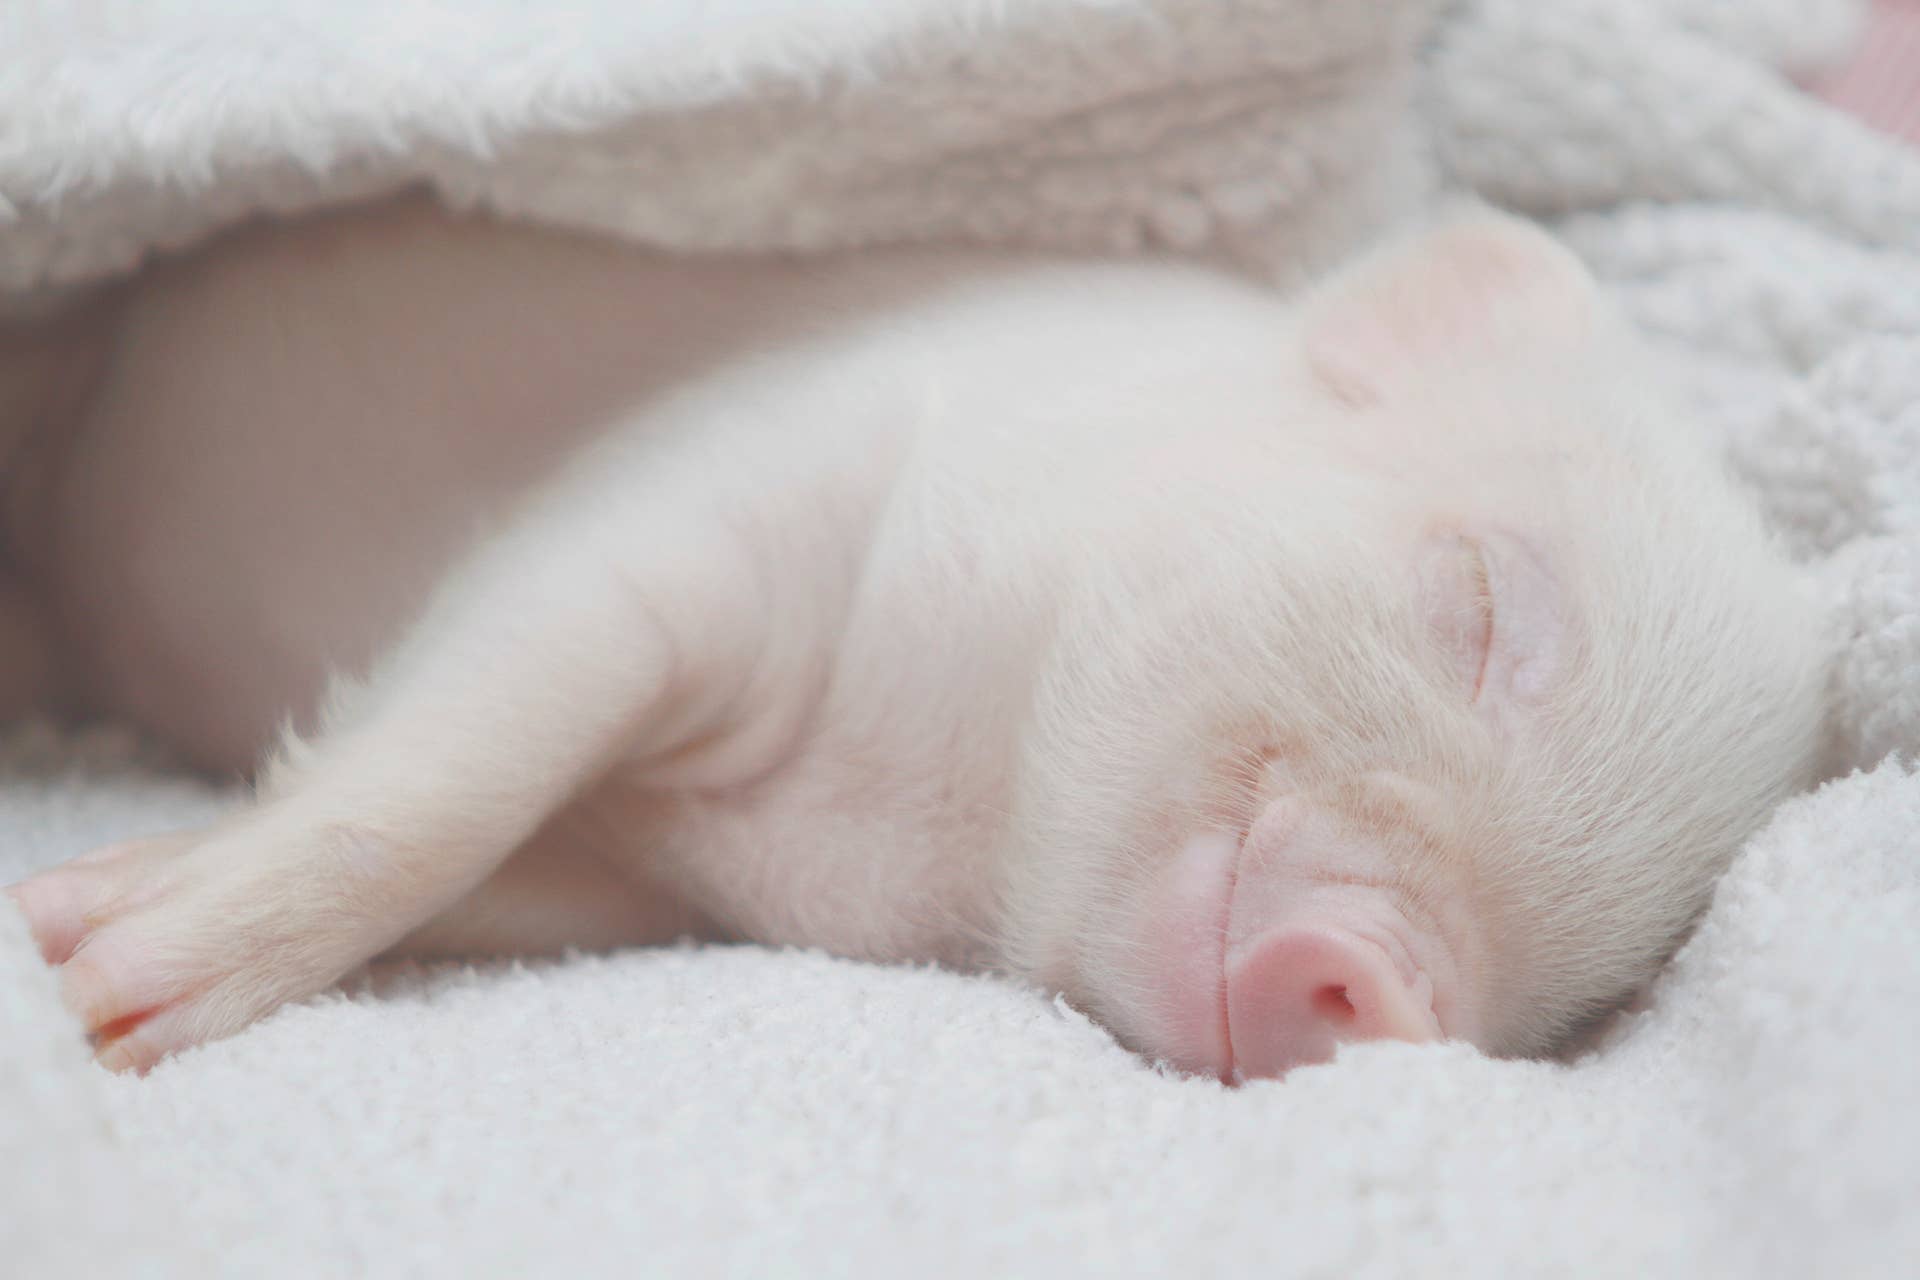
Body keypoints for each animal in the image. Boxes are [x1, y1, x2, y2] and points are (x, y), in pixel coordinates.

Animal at [0, 196, 1827, 1079]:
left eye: (1606, 987)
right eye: (1487, 608)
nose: (1388, 979)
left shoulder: (631, 881)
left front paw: (97, 912)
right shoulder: (710, 484)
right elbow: (473, 741)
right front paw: (88, 976)